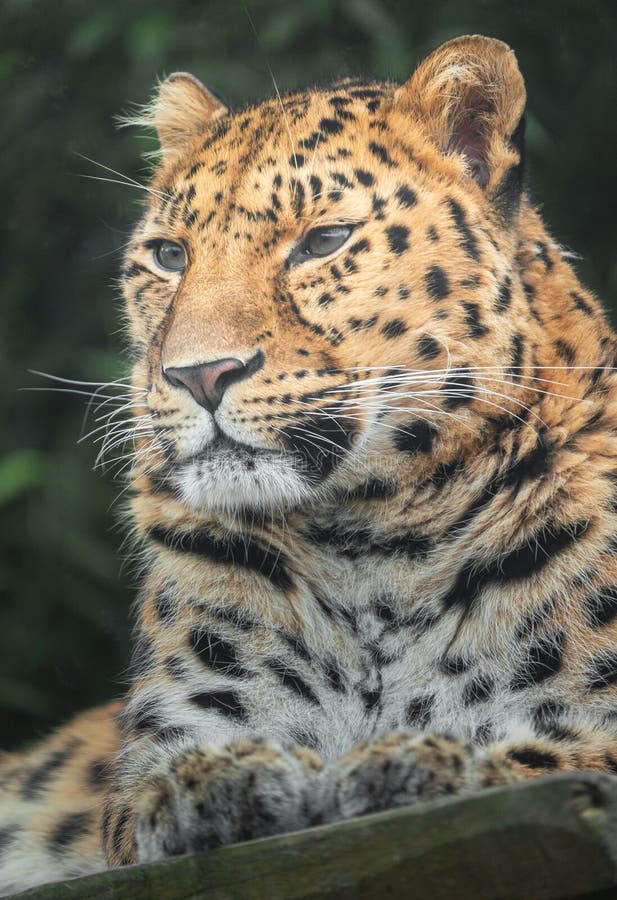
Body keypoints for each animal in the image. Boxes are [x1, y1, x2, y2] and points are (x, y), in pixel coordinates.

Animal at [3, 33, 617, 896]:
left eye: (323, 242)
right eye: (168, 255)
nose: (199, 375)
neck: (373, 542)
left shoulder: (592, 733)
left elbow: (545, 755)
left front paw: (415, 763)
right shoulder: (164, 747)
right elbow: (166, 779)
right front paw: (221, 779)